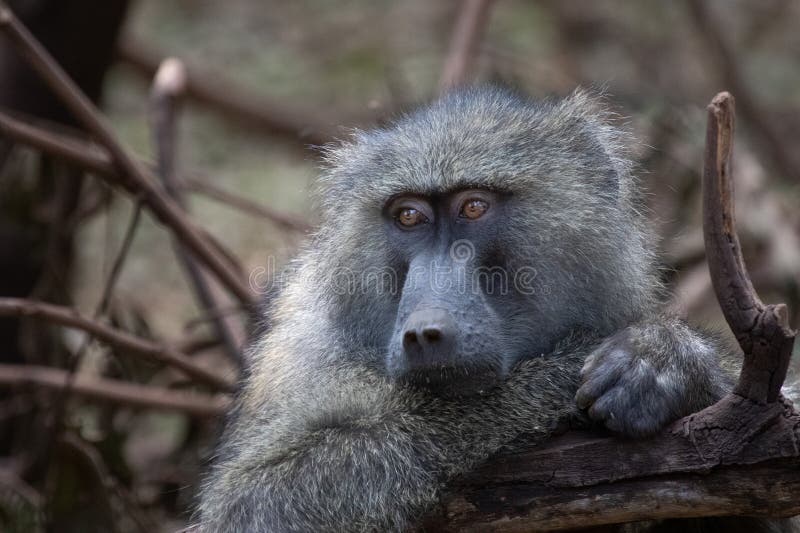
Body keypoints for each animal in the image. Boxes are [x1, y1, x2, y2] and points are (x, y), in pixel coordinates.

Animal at [196, 87, 794, 532]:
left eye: (474, 207)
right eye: (408, 216)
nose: (424, 331)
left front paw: (666, 360)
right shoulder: (301, 351)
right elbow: (260, 499)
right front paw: (586, 371)